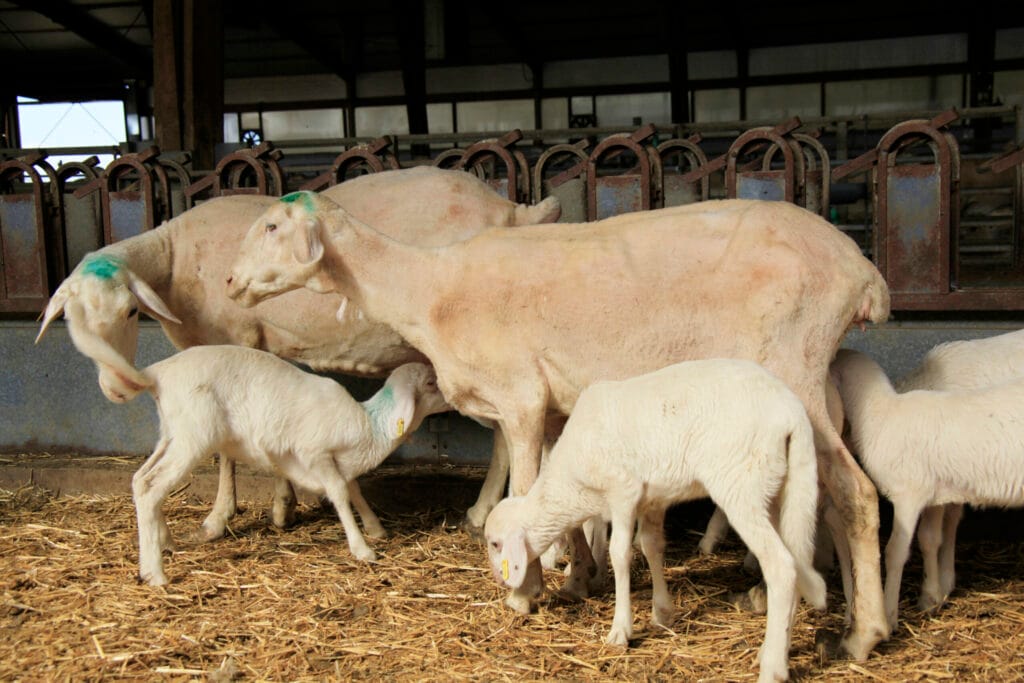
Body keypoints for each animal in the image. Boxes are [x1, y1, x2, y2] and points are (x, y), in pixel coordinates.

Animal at [35, 166, 560, 543]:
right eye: (70, 322)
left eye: (129, 312)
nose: (116, 388)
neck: (174, 258)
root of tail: (512, 210)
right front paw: (282, 504)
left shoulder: (234, 339)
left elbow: (224, 450)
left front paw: (219, 518)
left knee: (508, 432)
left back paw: (482, 511)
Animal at [115, 345, 449, 586]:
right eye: (431, 383)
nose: (452, 396)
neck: (368, 425)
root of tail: (158, 373)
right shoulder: (315, 454)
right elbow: (340, 493)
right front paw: (363, 549)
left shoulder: (337, 462)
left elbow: (354, 490)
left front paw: (376, 528)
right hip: (193, 435)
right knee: (152, 488)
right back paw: (155, 573)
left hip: (171, 434)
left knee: (141, 479)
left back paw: (166, 543)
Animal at [484, 359, 827, 682]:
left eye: (495, 543)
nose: (500, 580)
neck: (572, 487)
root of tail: (792, 413)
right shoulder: (652, 500)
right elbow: (651, 547)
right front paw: (662, 612)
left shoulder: (623, 491)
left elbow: (620, 554)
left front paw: (621, 630)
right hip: (782, 490)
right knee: (797, 562)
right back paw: (773, 650)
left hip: (742, 485)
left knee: (781, 567)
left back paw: (773, 667)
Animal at [830, 347, 1024, 631]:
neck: (880, 413)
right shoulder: (935, 496)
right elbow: (930, 538)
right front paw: (932, 598)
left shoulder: (908, 496)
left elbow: (895, 552)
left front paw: (889, 615)